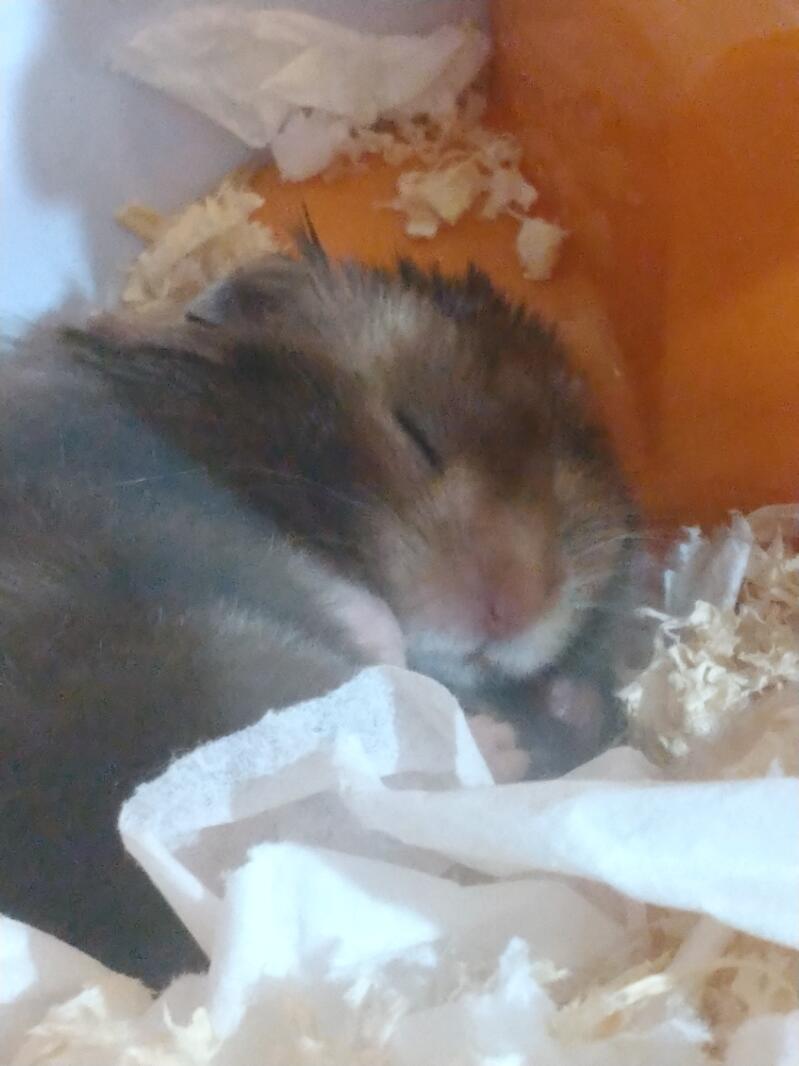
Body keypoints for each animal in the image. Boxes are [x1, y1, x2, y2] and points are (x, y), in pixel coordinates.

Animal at [0, 241, 636, 987]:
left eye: (572, 504)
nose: (512, 607)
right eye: (415, 434)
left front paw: (567, 699)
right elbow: (307, 580)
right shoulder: (153, 504)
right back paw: (488, 740)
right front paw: (391, 642)